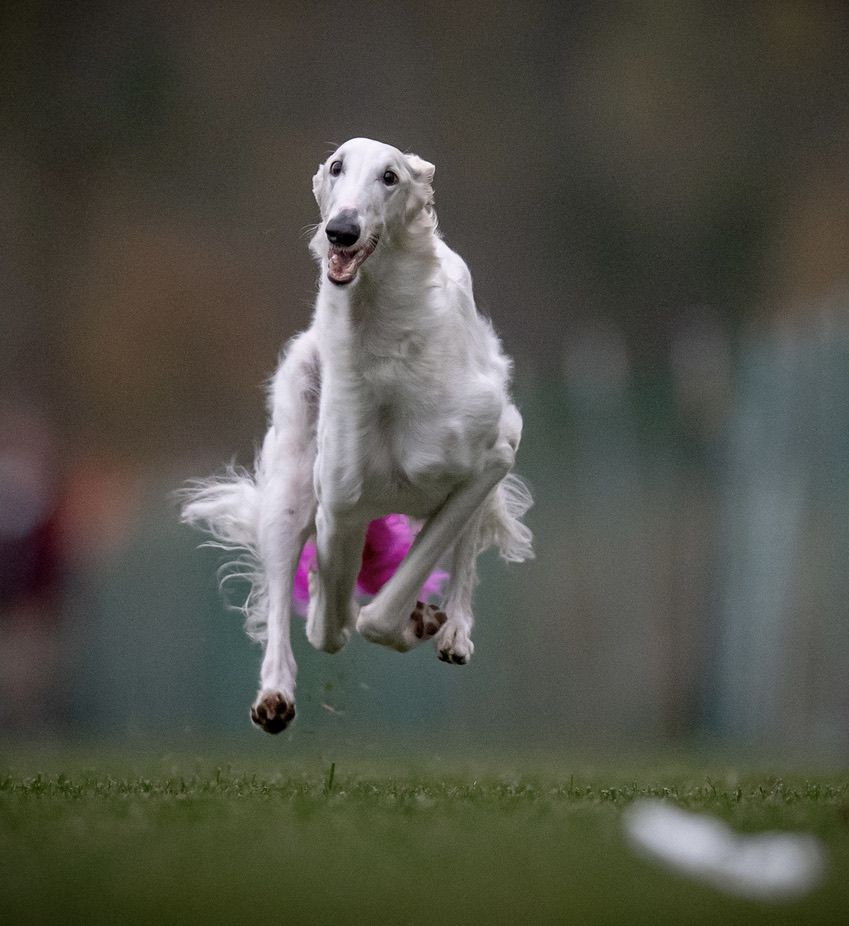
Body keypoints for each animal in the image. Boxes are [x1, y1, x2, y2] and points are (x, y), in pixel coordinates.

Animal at [183, 136, 532, 732]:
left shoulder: (495, 454)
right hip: (290, 488)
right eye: (336, 167)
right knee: (302, 607)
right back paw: (275, 694)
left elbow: (386, 605)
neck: (388, 353)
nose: (340, 230)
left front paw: (421, 621)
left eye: (390, 176)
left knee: (464, 548)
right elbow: (329, 625)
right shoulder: (340, 509)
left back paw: (454, 630)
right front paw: (402, 618)